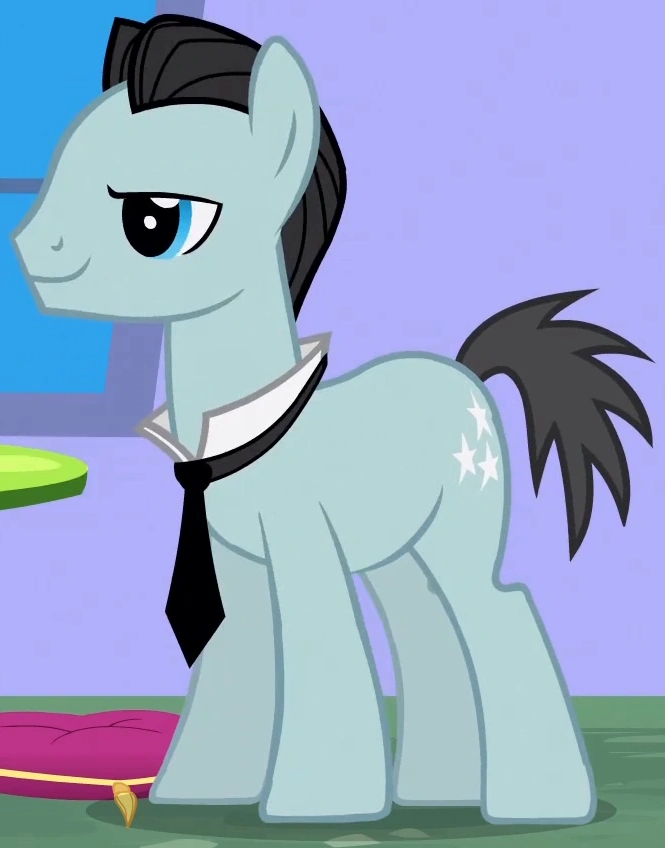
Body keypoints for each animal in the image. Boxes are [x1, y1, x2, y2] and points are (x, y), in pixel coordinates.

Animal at [11, 14, 652, 826]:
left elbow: (323, 650)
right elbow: (238, 660)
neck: (245, 428)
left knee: (497, 614)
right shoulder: (238, 572)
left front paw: (316, 803)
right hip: (400, 557)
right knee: (423, 631)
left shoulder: (302, 546)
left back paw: (538, 804)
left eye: (155, 220)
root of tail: (467, 375)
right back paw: (438, 793)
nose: (31, 250)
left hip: (458, 541)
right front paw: (200, 790)